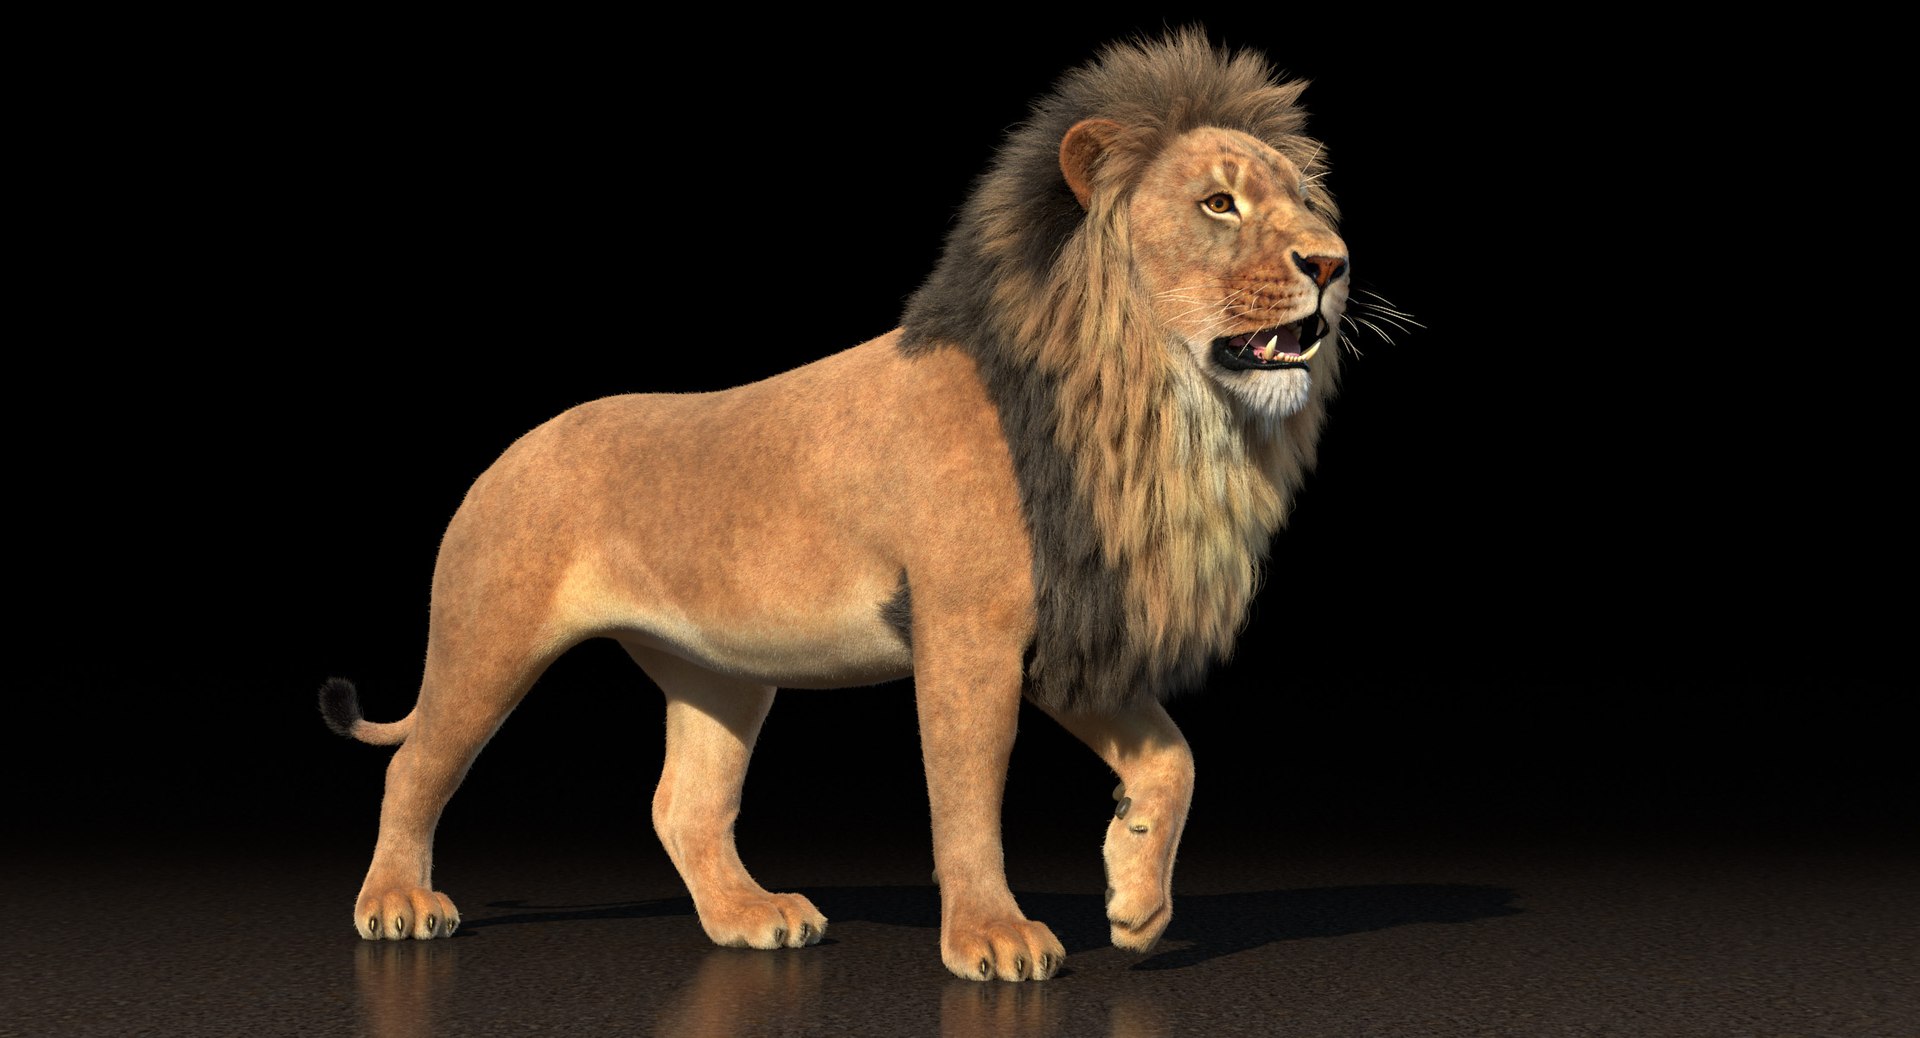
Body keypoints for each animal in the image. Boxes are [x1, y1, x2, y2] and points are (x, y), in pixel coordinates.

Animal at [320, 29, 1353, 982]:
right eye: (1219, 203)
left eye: (1303, 201)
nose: (1334, 263)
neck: (1149, 416)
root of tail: (508, 454)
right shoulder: (968, 630)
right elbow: (967, 796)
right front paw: (991, 938)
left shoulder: (1072, 623)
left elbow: (1174, 758)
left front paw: (1137, 900)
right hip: (489, 638)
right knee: (416, 764)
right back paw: (396, 905)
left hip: (719, 671)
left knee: (684, 806)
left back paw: (754, 918)